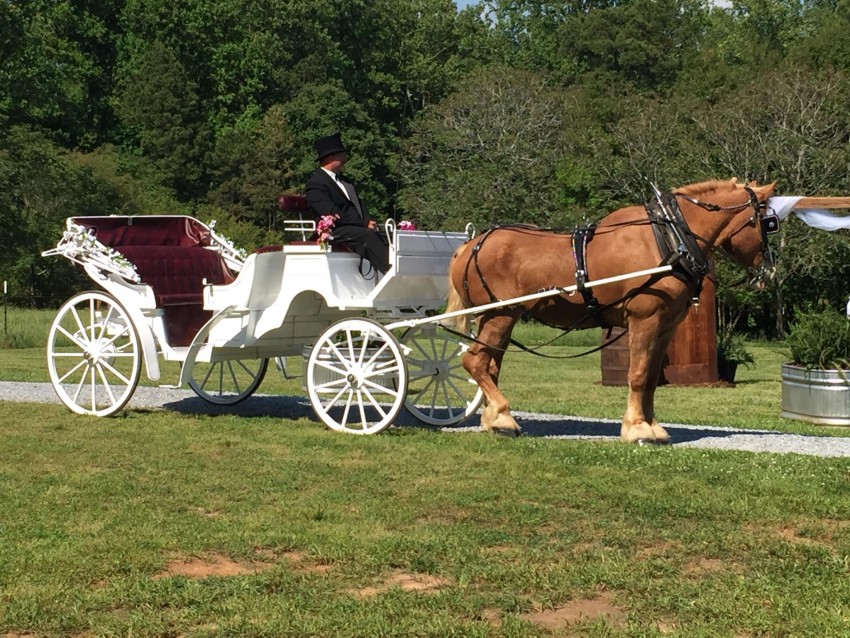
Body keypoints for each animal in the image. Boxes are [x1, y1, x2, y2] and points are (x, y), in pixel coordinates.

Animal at [445, 178, 777, 443]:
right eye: (767, 222)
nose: (769, 272)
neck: (670, 240)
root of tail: (470, 245)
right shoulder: (645, 319)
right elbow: (639, 374)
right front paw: (637, 428)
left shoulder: (666, 325)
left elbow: (652, 377)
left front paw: (653, 425)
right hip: (499, 315)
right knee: (474, 362)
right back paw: (502, 414)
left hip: (500, 317)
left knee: (489, 366)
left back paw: (495, 420)